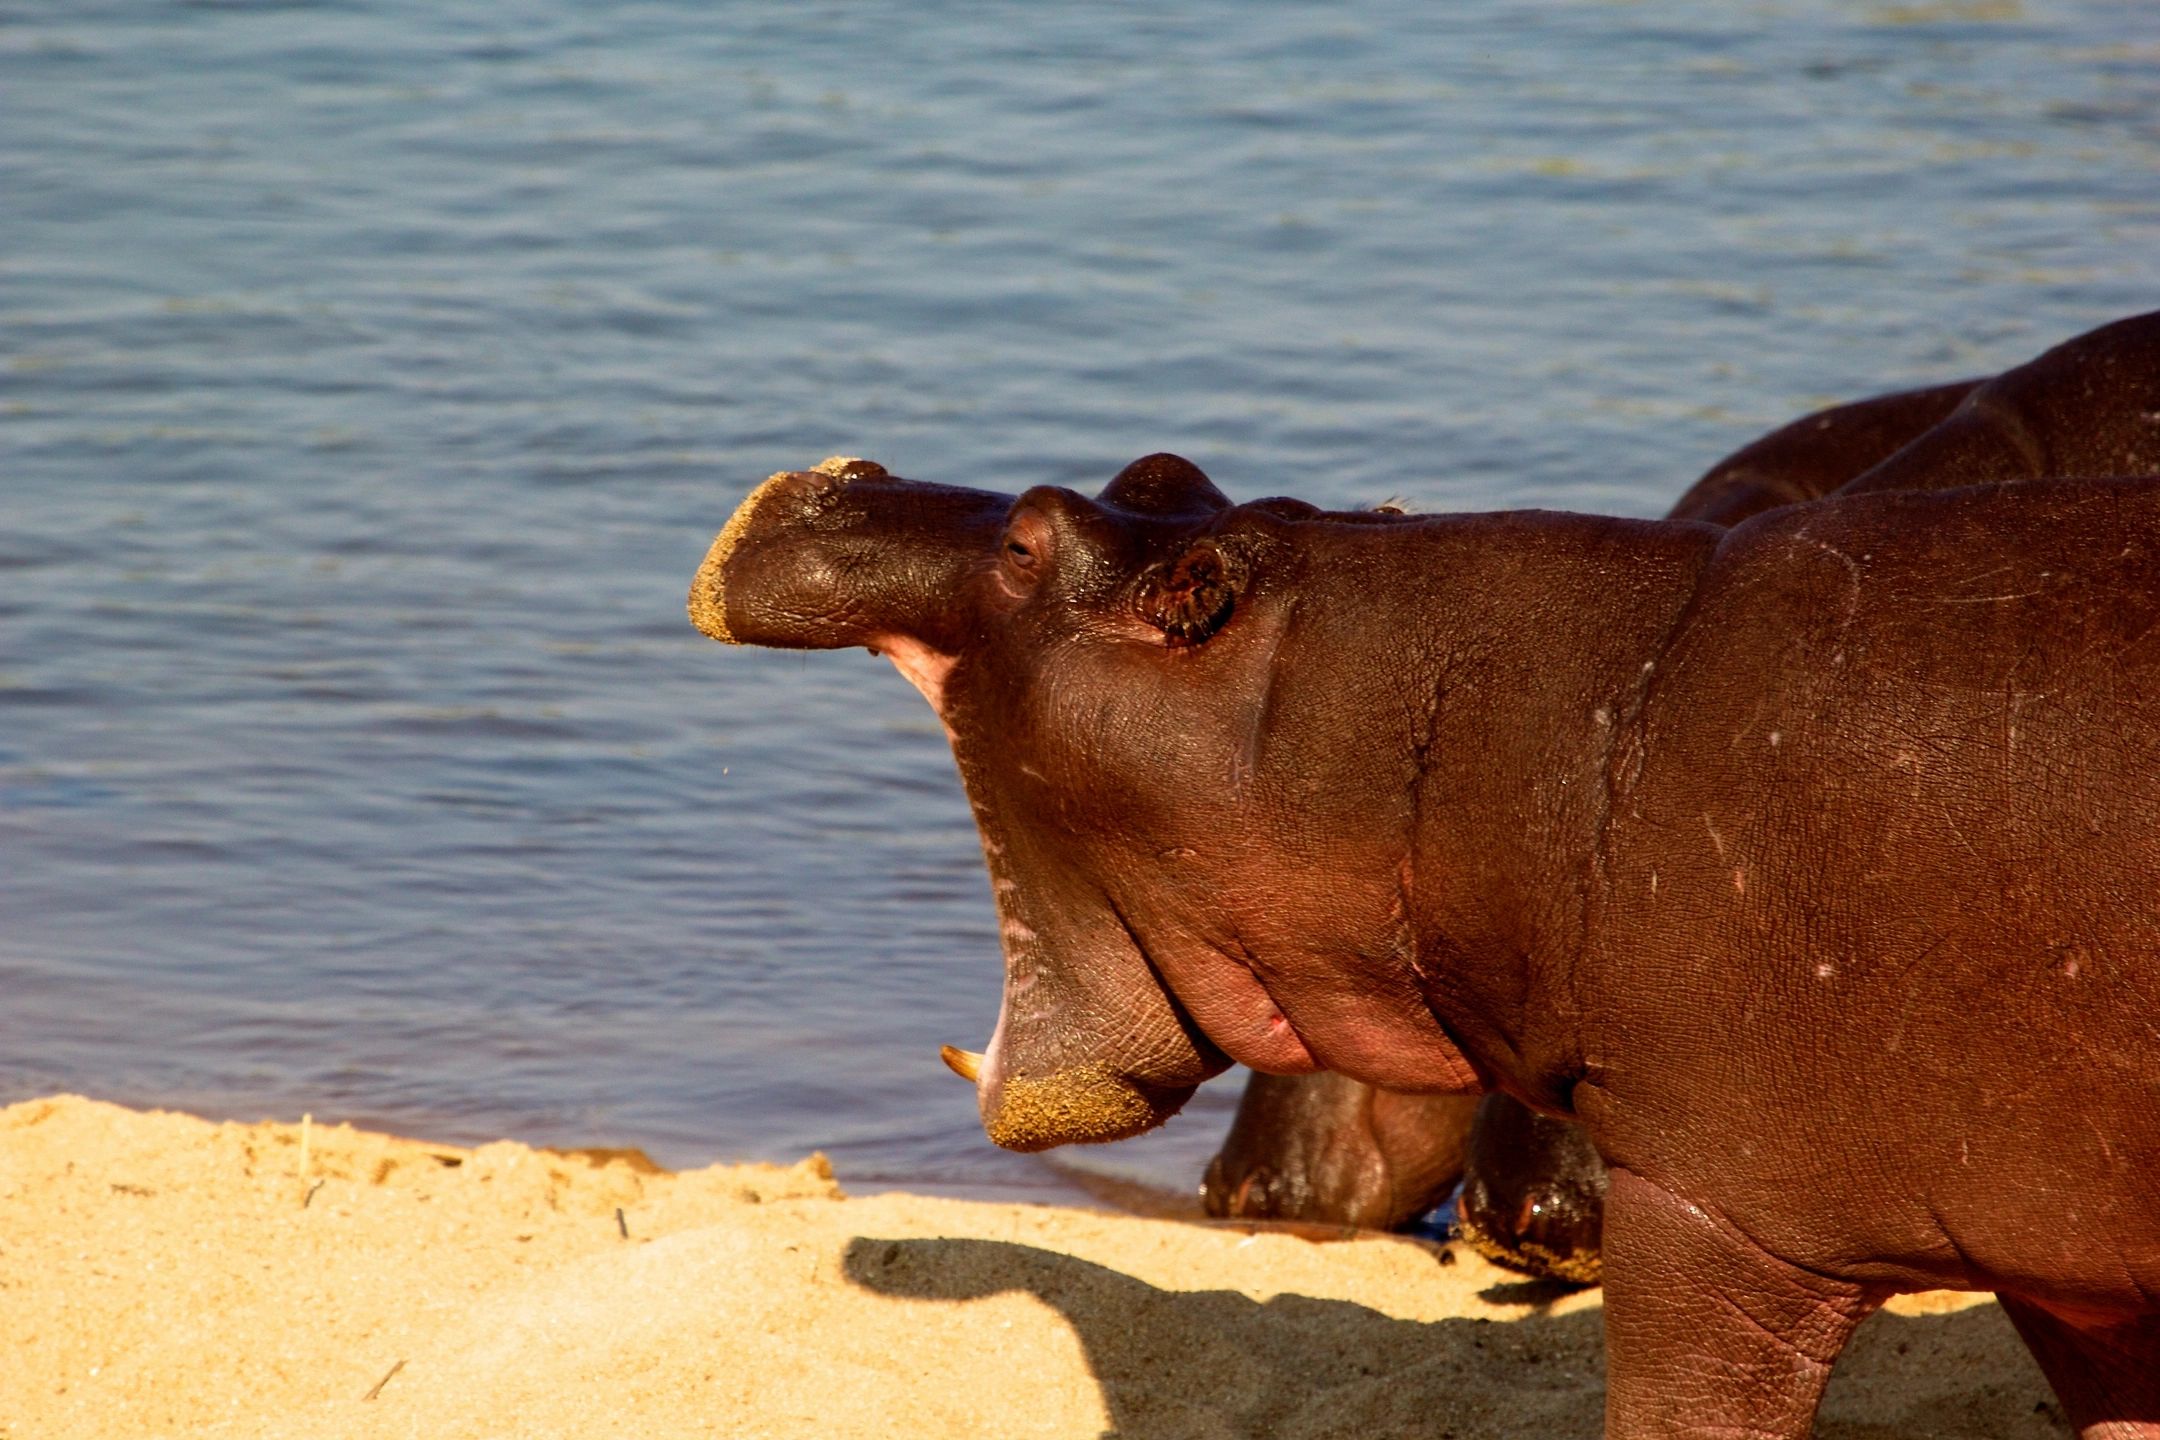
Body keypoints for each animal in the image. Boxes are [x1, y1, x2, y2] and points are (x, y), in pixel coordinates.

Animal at [691, 311, 2160, 1436]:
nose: (840, 473)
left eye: (1026, 543)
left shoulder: (1720, 1215)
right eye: (1156, 466)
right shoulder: (2058, 1266)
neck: (1586, 726)